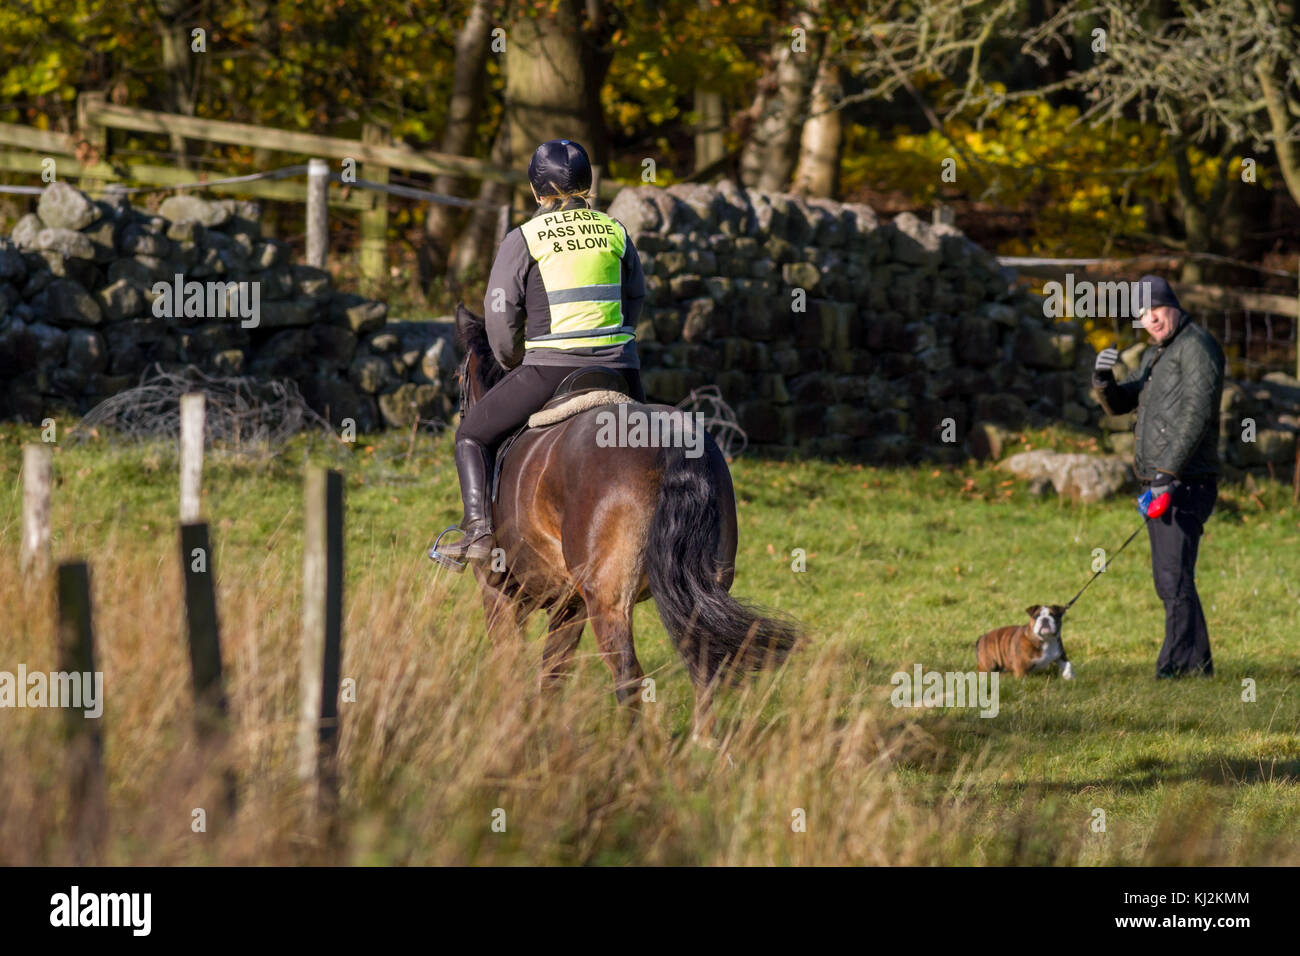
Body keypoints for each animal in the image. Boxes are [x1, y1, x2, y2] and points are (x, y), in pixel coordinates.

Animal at [445, 303, 799, 707]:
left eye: (458, 374)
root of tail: (669, 439)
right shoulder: (569, 605)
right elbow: (551, 677)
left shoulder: (499, 596)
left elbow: (513, 670)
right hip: (701, 594)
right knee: (705, 671)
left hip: (609, 602)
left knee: (628, 678)